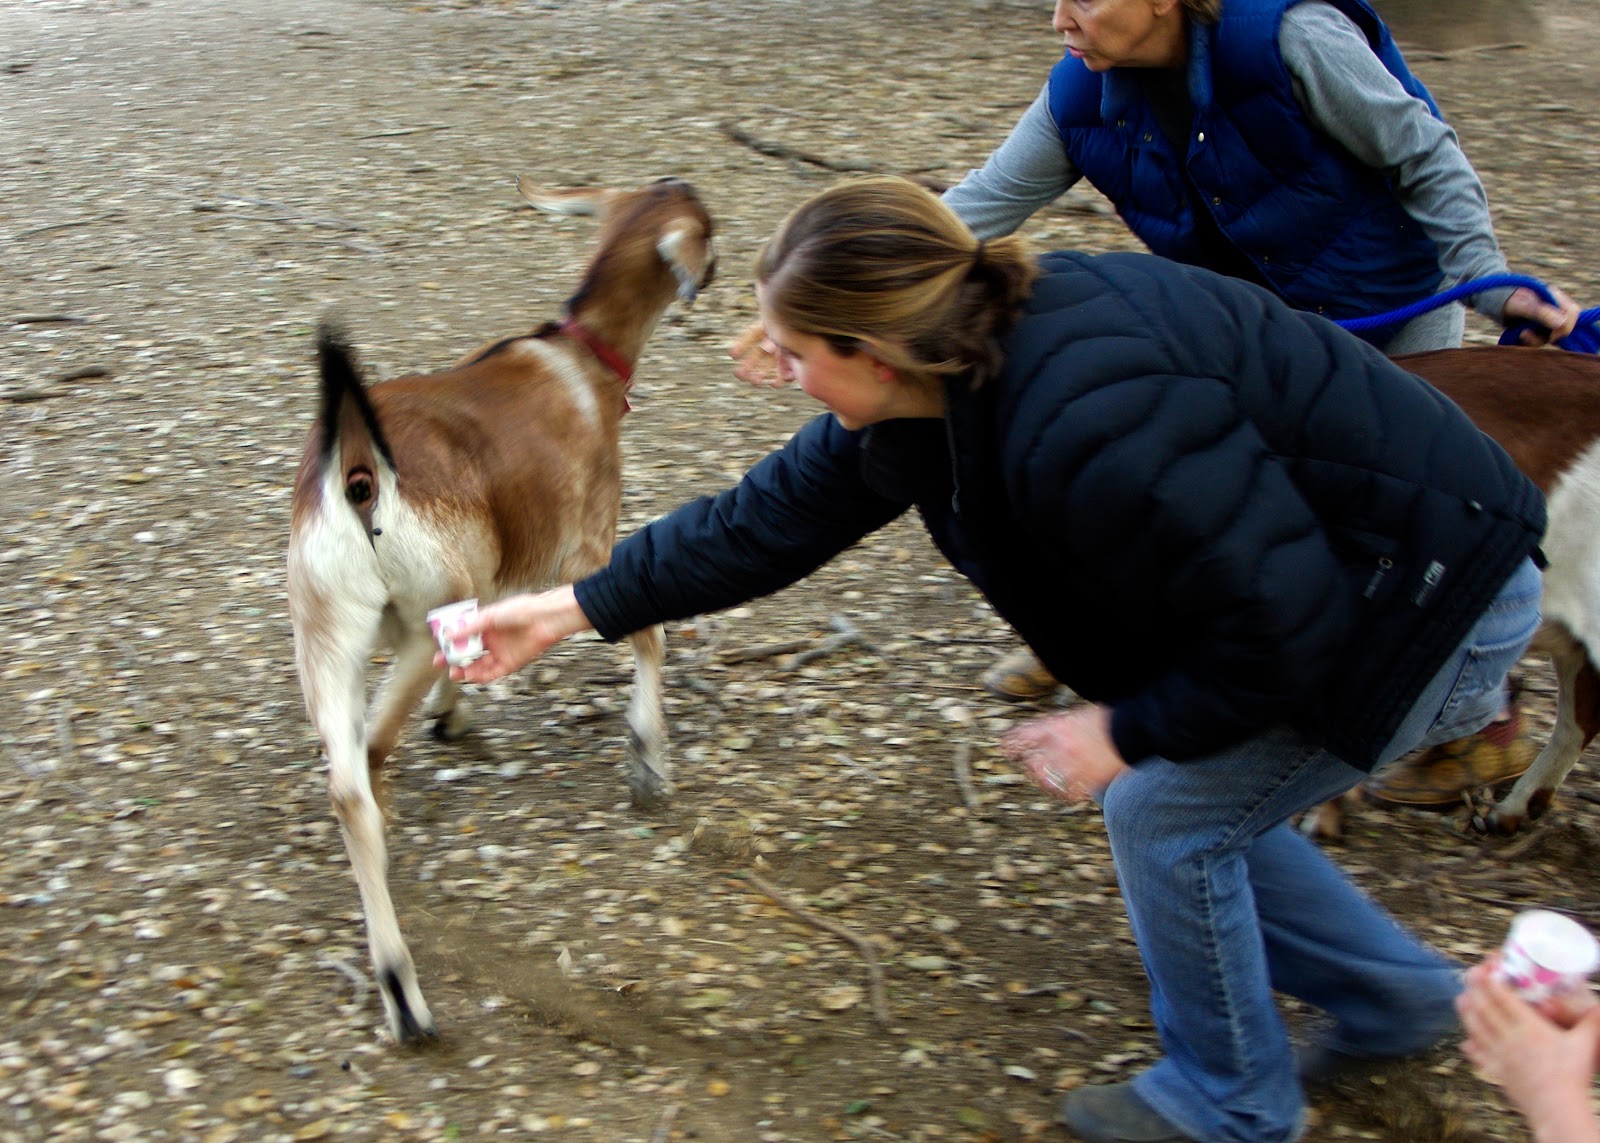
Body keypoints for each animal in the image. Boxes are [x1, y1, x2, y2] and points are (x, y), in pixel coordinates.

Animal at [285, 177, 715, 1044]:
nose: (717, 271)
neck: (579, 361)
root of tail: (358, 470)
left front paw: (454, 713)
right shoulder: (586, 548)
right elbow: (648, 629)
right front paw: (648, 758)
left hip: (325, 632)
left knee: (348, 782)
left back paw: (396, 982)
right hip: (422, 617)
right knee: (372, 752)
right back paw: (407, 985)